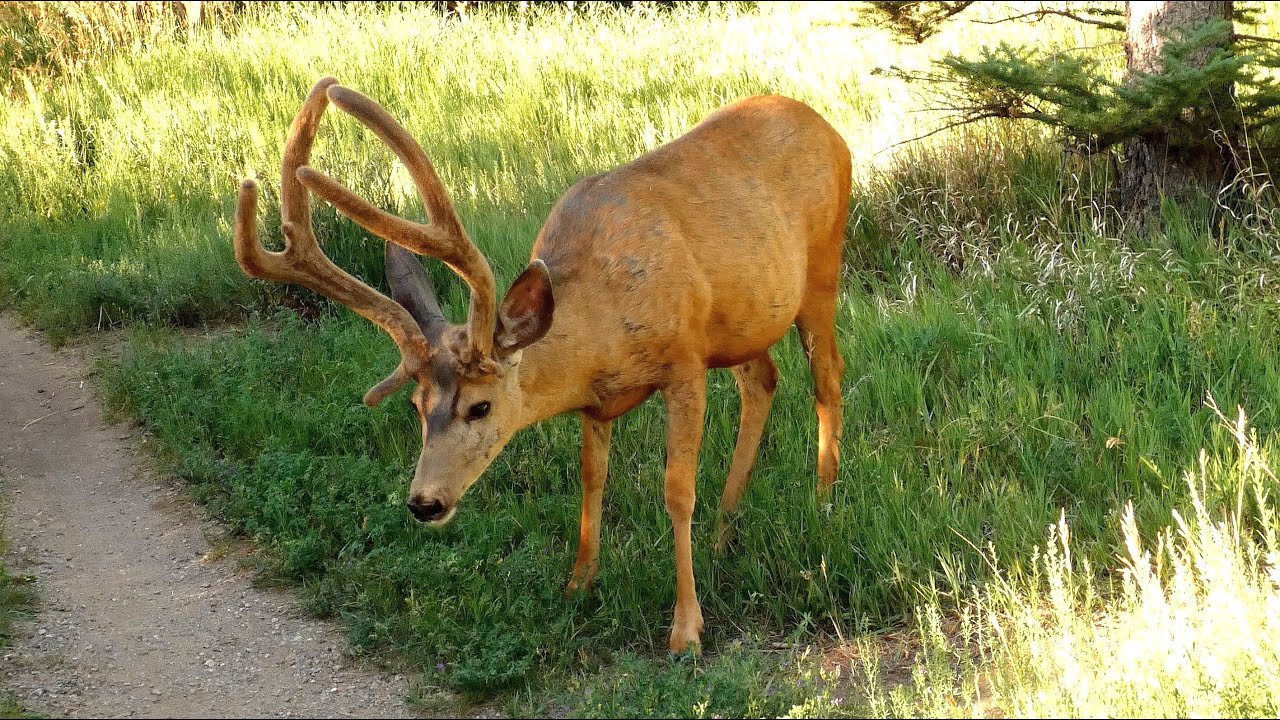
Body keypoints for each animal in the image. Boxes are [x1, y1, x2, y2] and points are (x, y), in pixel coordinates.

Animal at [234, 77, 851, 654]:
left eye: (481, 407)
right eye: (416, 406)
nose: (424, 503)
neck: (602, 319)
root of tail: (826, 125)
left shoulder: (685, 362)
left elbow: (677, 490)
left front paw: (685, 630)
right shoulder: (599, 400)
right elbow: (592, 478)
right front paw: (578, 583)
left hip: (821, 268)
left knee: (828, 380)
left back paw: (822, 501)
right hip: (745, 319)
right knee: (763, 380)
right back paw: (725, 531)